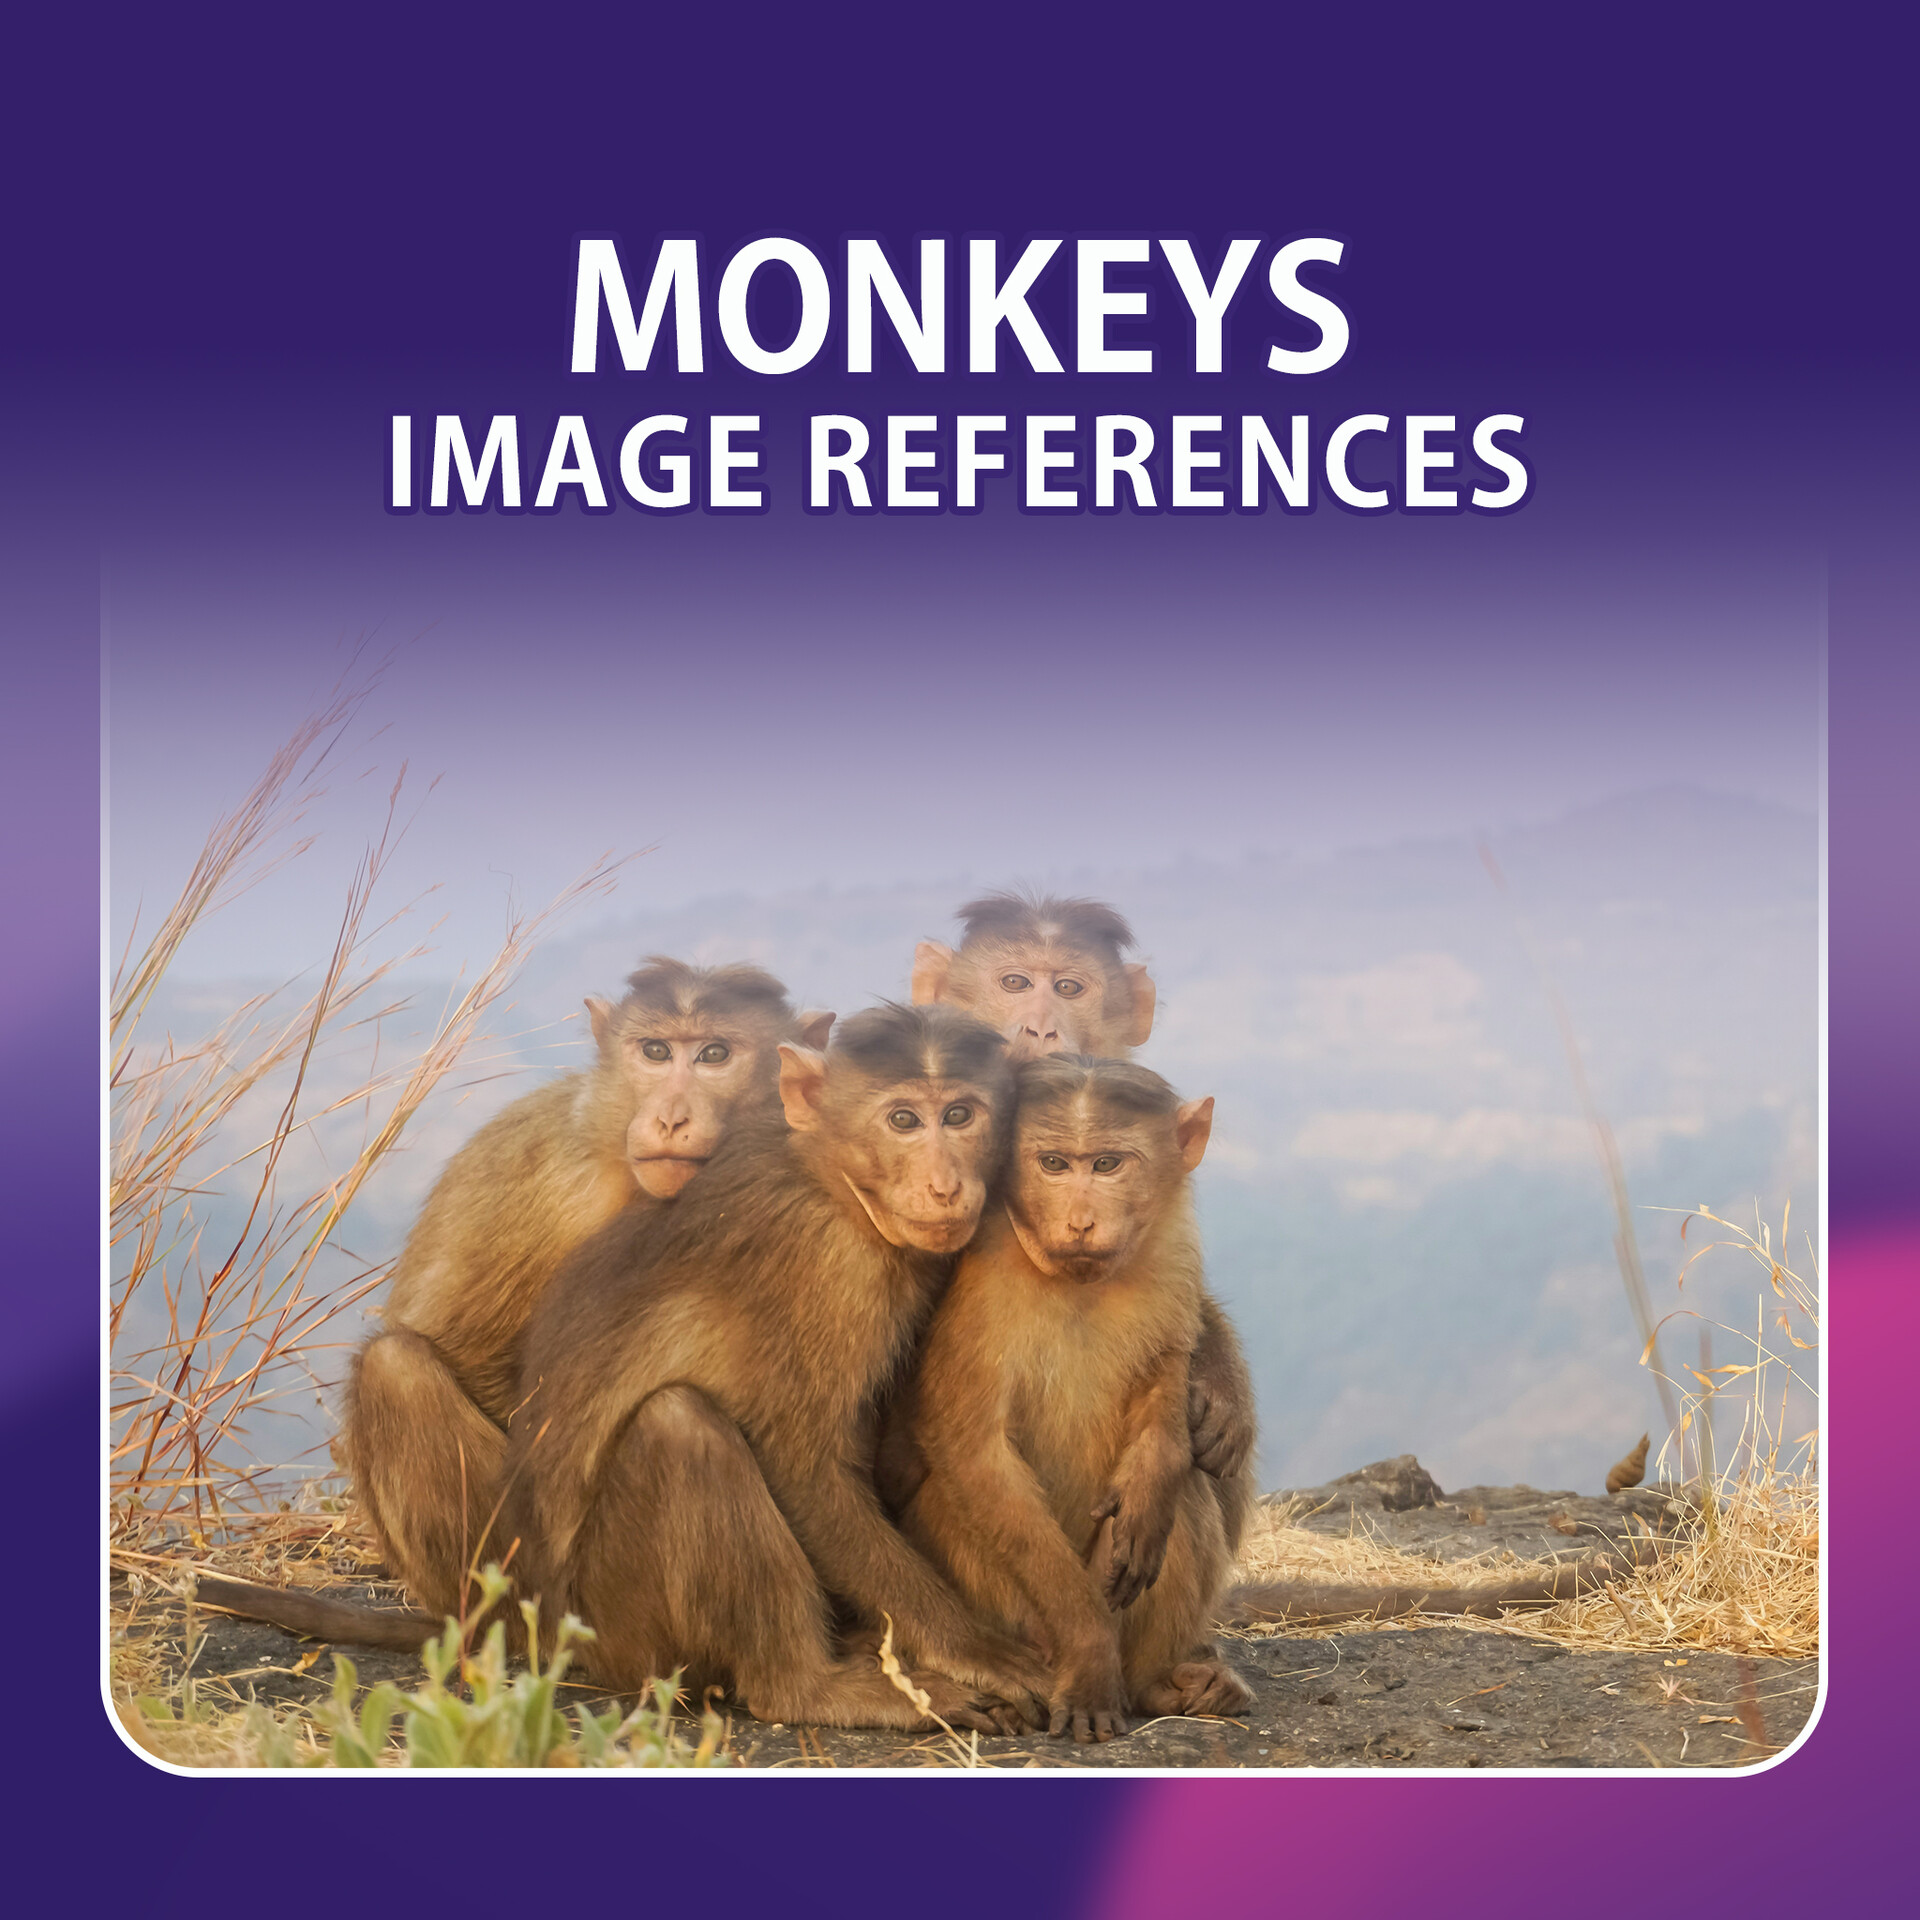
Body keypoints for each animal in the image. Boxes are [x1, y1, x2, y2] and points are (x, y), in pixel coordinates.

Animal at [338, 957, 831, 1618]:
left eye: (714, 1054)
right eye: (655, 1051)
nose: (670, 1117)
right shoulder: (550, 1180)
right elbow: (465, 1352)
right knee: (394, 1369)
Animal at [496, 1002, 1055, 1733]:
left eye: (960, 1115)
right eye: (904, 1120)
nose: (946, 1184)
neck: (831, 1184)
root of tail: (555, 1636)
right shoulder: (823, 1265)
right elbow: (805, 1467)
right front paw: (973, 1648)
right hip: (623, 1630)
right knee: (681, 1426)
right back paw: (807, 1686)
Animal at [894, 1053, 1255, 1743]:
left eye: (1107, 1163)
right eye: (1055, 1164)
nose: (1081, 1221)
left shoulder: (1173, 1252)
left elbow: (1166, 1386)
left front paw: (1153, 1476)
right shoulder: (981, 1287)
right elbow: (974, 1452)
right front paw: (1089, 1652)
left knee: (1187, 1495)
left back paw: (1157, 1683)